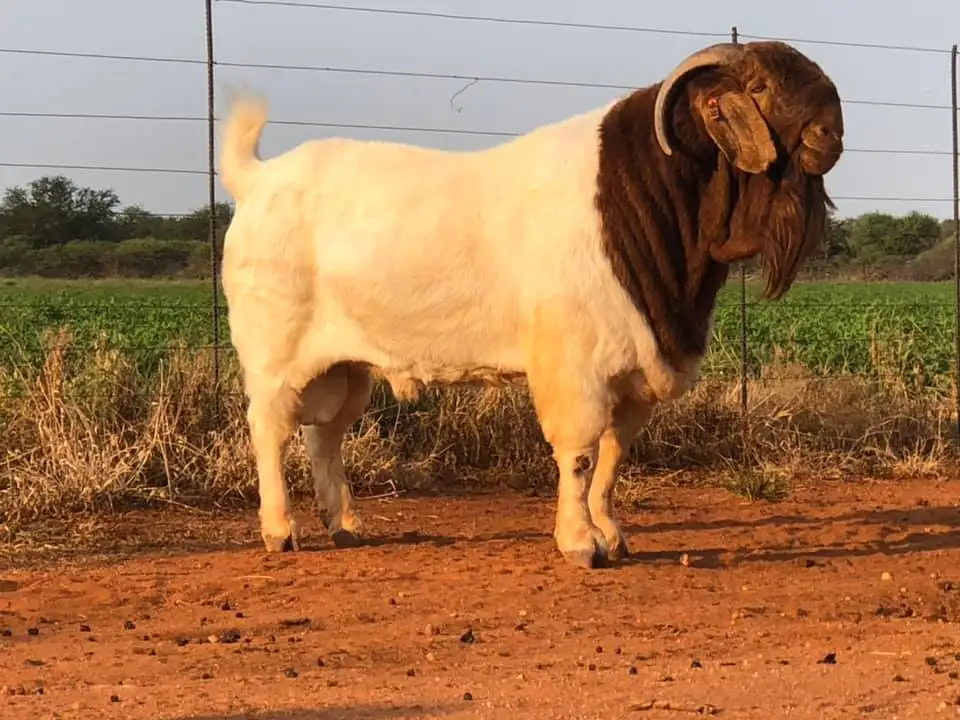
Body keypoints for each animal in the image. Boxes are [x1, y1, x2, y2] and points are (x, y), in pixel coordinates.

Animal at [218, 40, 844, 569]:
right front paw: (580, 544)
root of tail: (257, 179)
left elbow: (613, 458)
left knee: (324, 433)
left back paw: (344, 525)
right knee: (269, 427)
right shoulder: (576, 367)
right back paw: (280, 530)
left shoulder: (633, 373)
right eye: (760, 87)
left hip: (344, 366)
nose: (831, 134)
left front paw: (612, 535)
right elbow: (581, 455)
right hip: (274, 353)